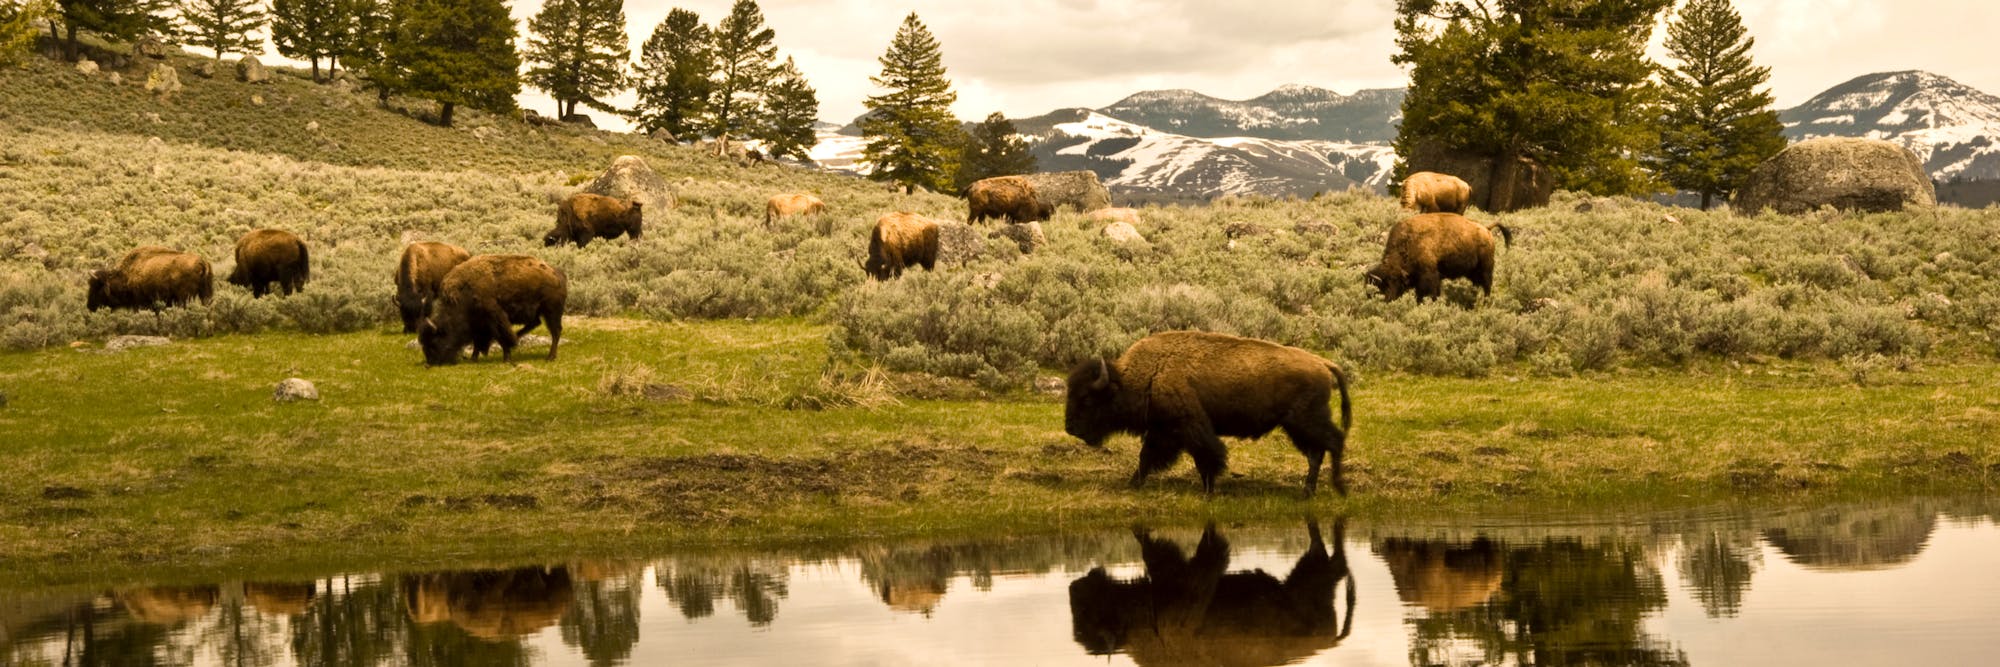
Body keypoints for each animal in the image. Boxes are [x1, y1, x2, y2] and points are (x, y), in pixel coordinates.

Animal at [418, 254, 566, 365]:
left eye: (434, 341)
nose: (430, 363)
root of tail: (556, 273)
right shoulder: (478, 325)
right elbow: (478, 342)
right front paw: (473, 358)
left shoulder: (493, 318)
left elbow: (501, 338)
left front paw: (506, 359)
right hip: (539, 312)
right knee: (536, 324)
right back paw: (518, 336)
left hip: (551, 312)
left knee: (555, 332)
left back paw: (550, 357)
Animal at [1066, 331, 1353, 497]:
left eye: (1087, 398)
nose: (1070, 427)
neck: (1148, 374)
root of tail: (1322, 363)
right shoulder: (1162, 431)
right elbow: (1147, 457)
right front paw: (1134, 483)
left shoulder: (1190, 428)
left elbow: (1206, 456)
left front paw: (1208, 490)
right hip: (1296, 426)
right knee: (1317, 452)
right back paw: (1308, 490)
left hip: (1305, 421)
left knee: (1333, 442)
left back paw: (1337, 486)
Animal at [1365, 212, 1513, 303]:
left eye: (1391, 282)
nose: (1387, 299)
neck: (1408, 241)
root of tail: (1486, 229)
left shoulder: (1429, 276)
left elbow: (1428, 293)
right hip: (1472, 272)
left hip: (1486, 268)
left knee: (1487, 285)